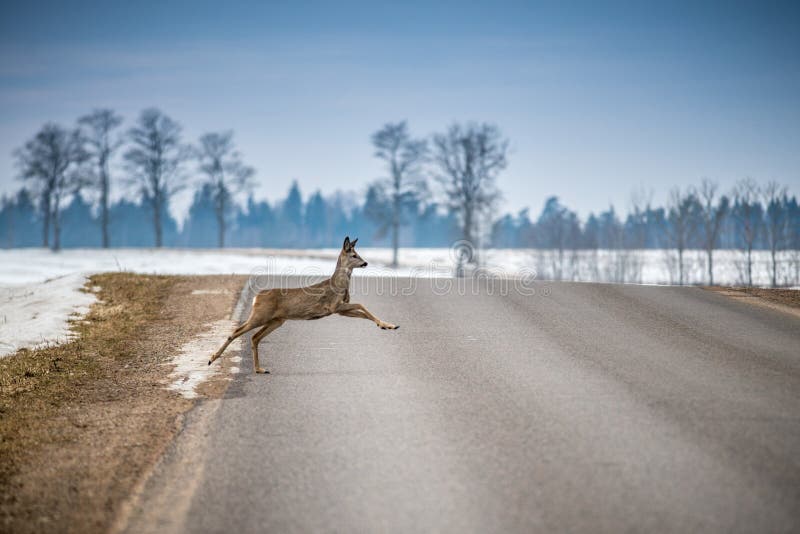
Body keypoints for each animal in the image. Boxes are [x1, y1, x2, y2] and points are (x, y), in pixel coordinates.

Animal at [209, 236, 399, 374]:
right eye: (354, 255)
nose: (365, 263)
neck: (339, 285)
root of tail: (256, 297)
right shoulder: (334, 306)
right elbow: (361, 305)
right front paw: (388, 325)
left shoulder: (338, 310)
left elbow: (363, 311)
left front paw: (387, 325)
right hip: (260, 315)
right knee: (236, 331)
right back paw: (212, 358)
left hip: (277, 320)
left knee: (255, 337)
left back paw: (260, 369)